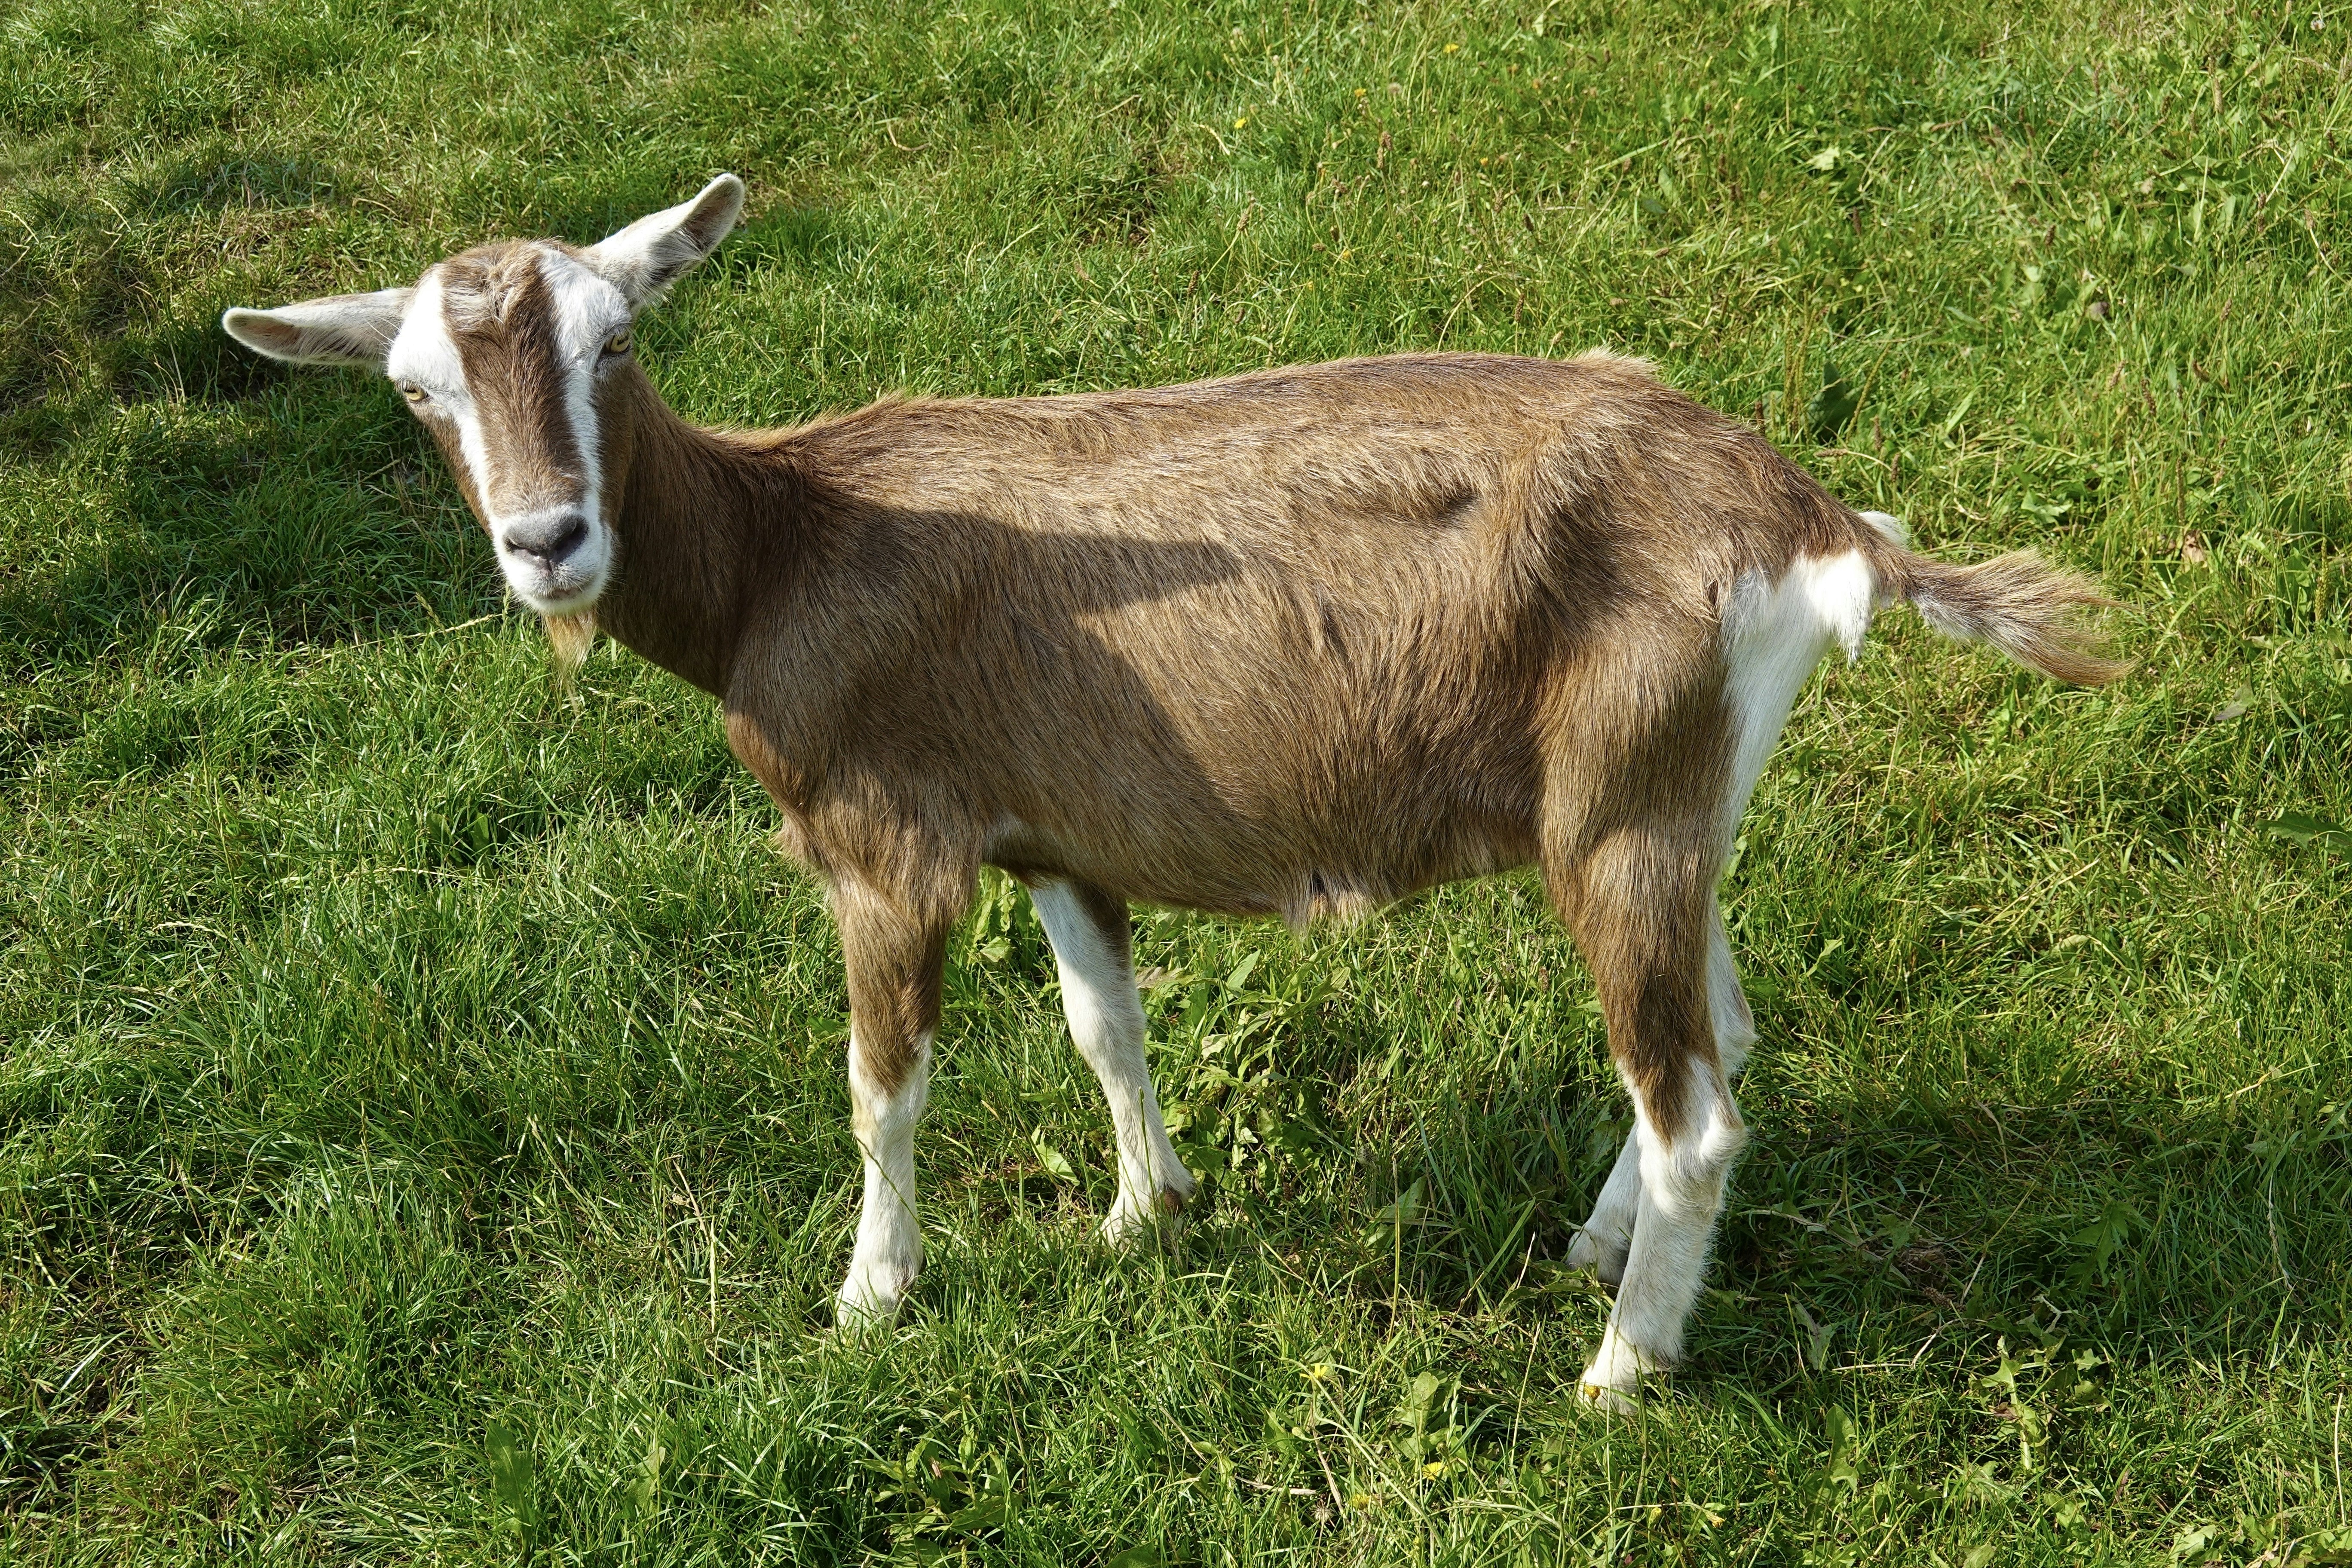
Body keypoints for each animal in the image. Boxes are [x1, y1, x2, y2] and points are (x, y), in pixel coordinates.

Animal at [223, 175, 2122, 1407]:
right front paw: (1148, 1213)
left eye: (618, 342)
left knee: (1696, 1107)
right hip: (1681, 803)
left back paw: (1616, 1371)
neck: (788, 551)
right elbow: (1102, 1026)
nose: (548, 543)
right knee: (1719, 1029)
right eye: (414, 391)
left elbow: (881, 1090)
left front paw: (870, 1295)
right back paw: (1598, 1257)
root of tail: (1807, 517)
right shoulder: (1052, 829)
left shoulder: (890, 849)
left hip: (1624, 812)